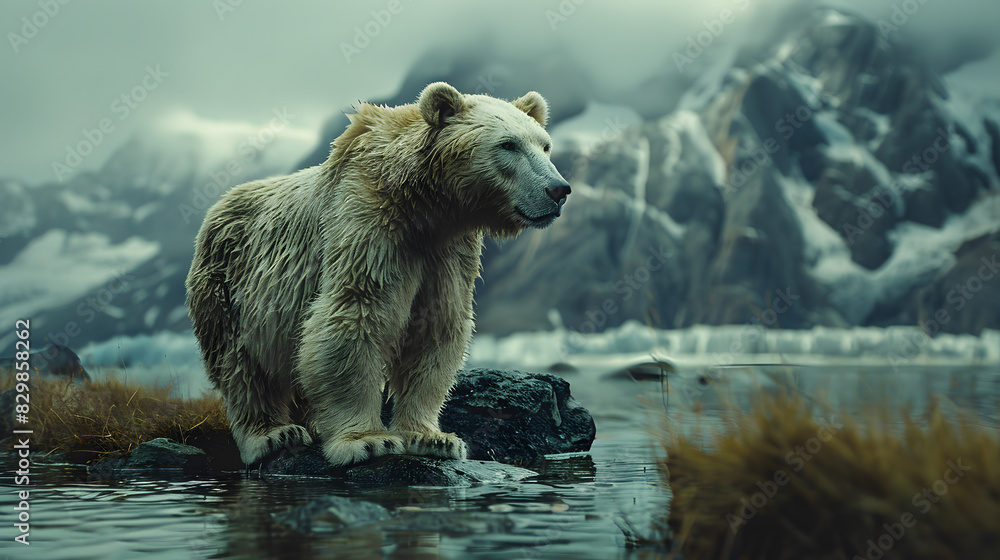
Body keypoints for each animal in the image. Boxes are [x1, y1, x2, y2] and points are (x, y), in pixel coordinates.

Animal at [185, 82, 571, 467]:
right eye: (508, 145)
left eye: (544, 145)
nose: (558, 189)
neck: (424, 203)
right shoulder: (369, 225)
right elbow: (355, 314)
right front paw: (368, 440)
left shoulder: (446, 253)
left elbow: (438, 327)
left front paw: (434, 438)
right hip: (229, 288)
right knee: (241, 364)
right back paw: (273, 434)